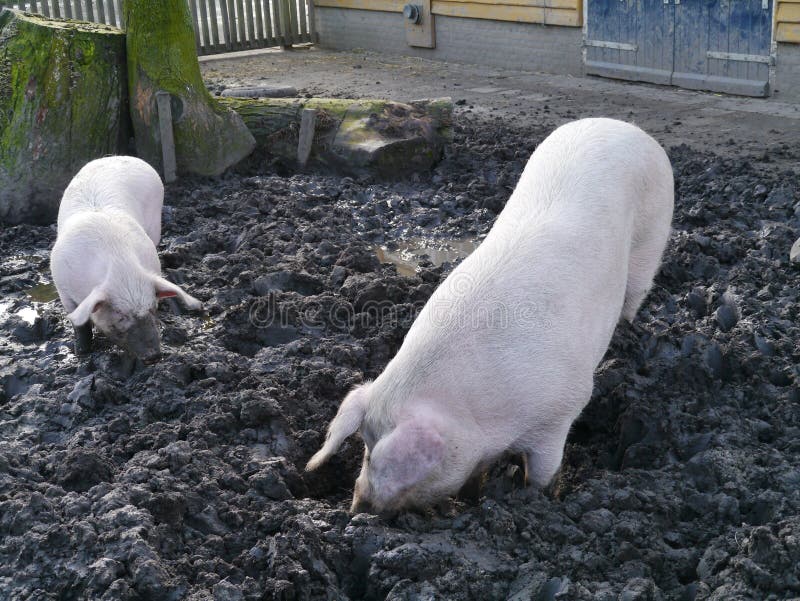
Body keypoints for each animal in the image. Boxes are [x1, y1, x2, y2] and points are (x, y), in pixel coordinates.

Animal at [50, 156, 202, 363]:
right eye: (120, 315)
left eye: (152, 308)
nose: (154, 356)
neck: (119, 263)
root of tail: (120, 157)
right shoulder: (62, 287)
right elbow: (79, 323)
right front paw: (81, 352)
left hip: (155, 224)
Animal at [306, 118, 674, 514]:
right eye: (364, 449)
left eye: (374, 457)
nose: (357, 511)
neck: (480, 412)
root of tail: (625, 126)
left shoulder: (561, 410)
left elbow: (543, 473)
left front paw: (537, 499)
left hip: (652, 236)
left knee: (636, 292)